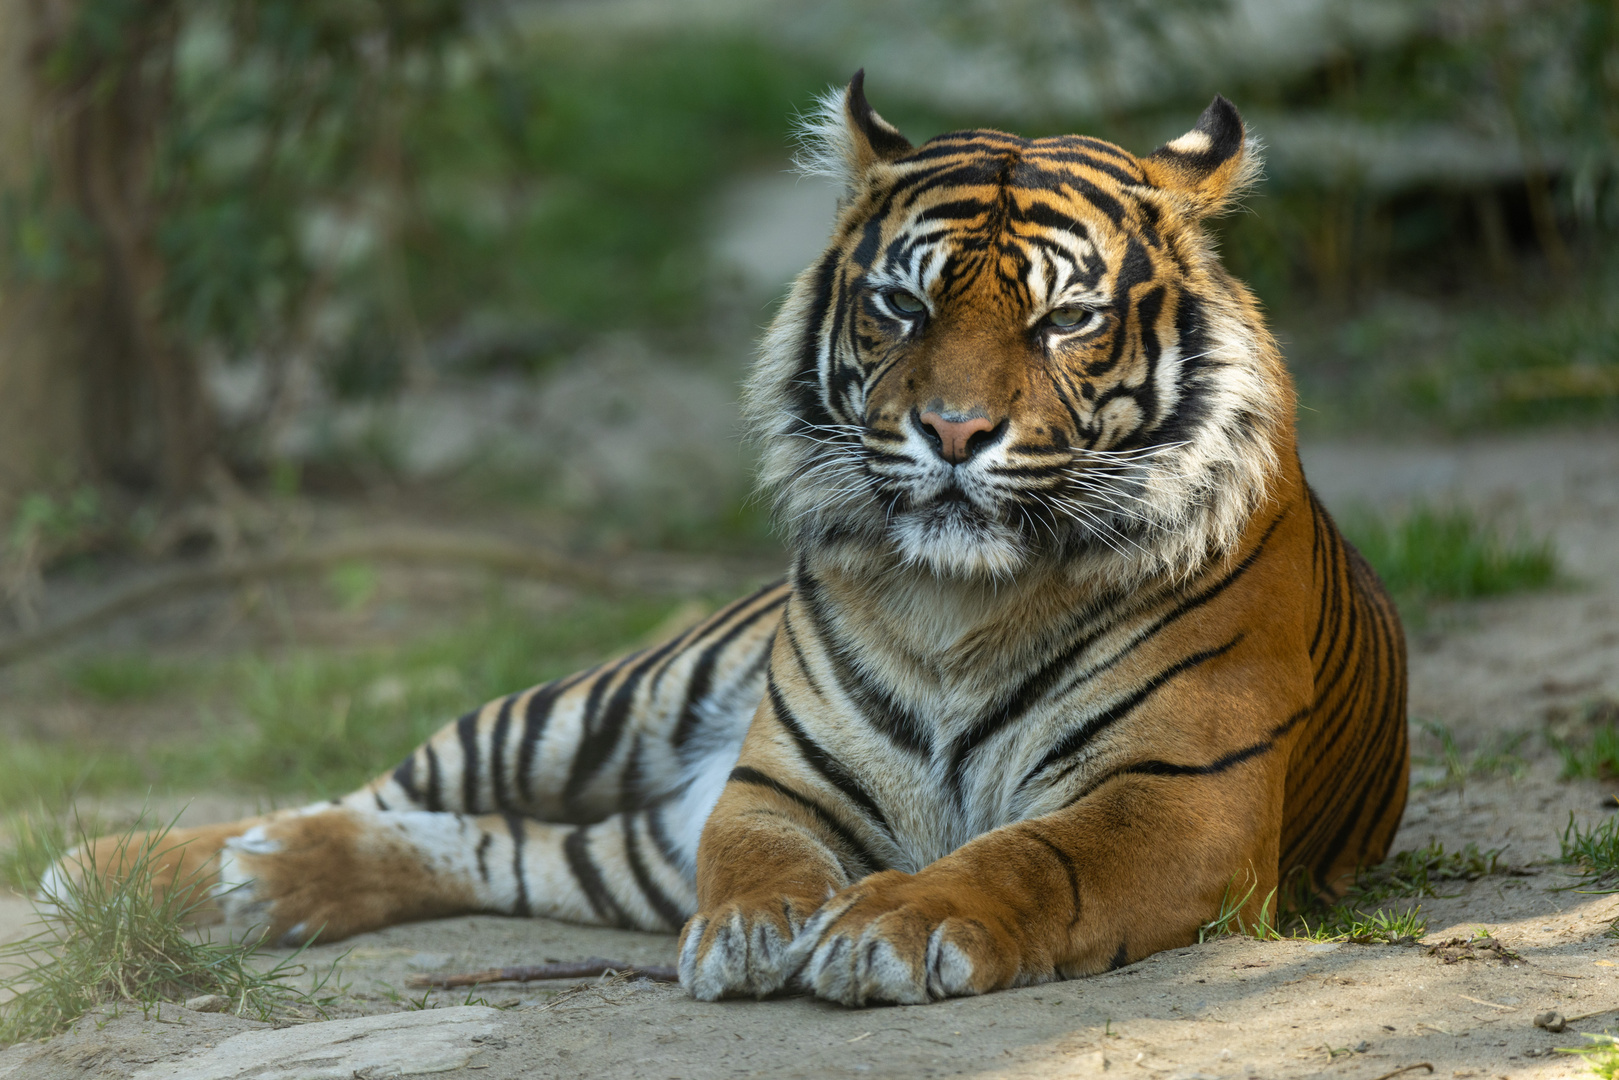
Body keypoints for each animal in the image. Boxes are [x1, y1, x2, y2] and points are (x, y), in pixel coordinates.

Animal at [48, 73, 1408, 1007]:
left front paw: (889, 928)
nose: (953, 431)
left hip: (628, 846)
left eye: (1065, 320)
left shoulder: (1175, 798)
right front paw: (760, 931)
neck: (961, 601)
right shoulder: (774, 777)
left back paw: (263, 880)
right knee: (394, 788)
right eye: (899, 305)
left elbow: (1026, 859)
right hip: (599, 706)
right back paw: (133, 868)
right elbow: (753, 858)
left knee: (493, 848)